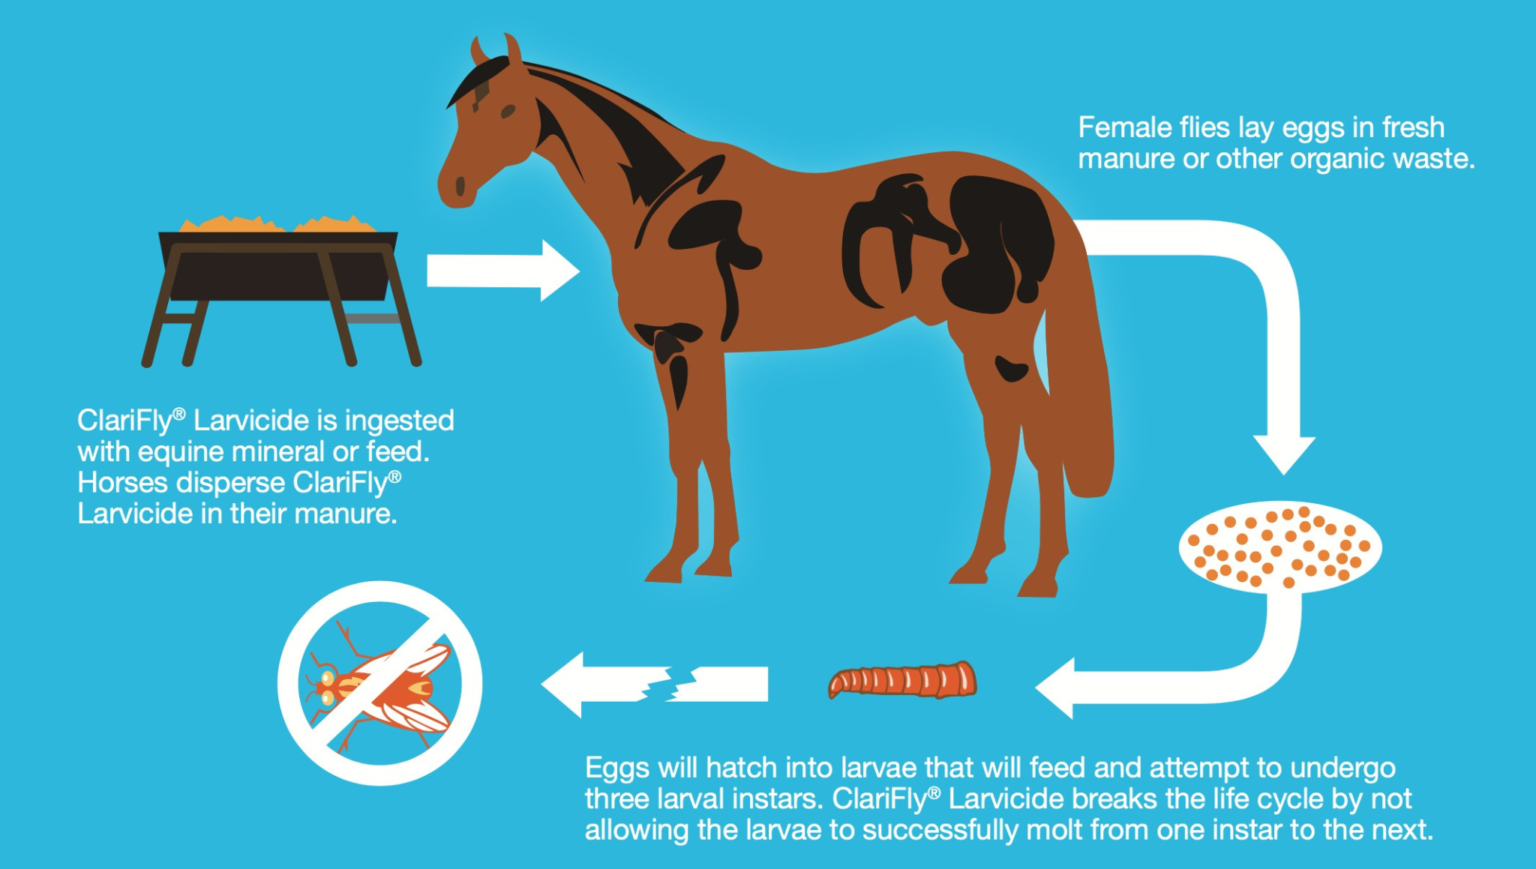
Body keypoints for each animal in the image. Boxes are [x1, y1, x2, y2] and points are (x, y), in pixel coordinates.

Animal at [438, 34, 1113, 597]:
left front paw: (679, 563)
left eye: (507, 111)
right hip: (976, 343)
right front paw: (712, 559)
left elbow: (692, 448)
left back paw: (1041, 576)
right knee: (1005, 439)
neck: (663, 205)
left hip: (999, 342)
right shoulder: (690, 351)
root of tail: (1034, 197)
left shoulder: (682, 344)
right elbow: (707, 445)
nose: (453, 188)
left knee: (1042, 438)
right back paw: (979, 566)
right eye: (462, 112)